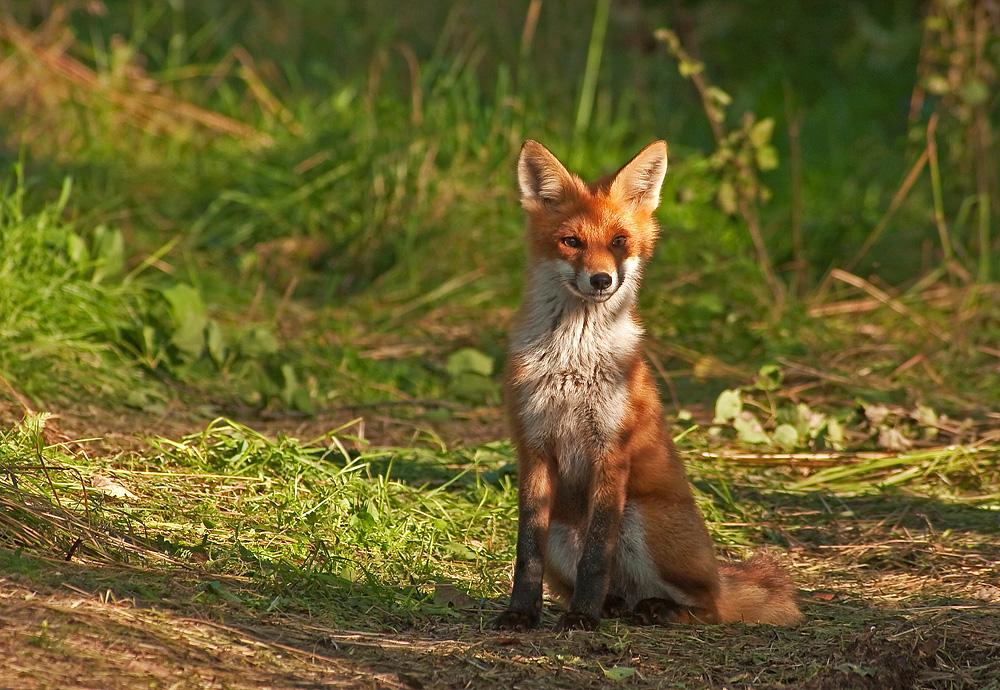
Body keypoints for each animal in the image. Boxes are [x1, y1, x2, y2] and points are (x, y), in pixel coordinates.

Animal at [493, 140, 802, 632]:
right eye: (571, 241)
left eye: (619, 241)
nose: (602, 279)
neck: (573, 363)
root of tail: (719, 574)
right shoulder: (533, 446)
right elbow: (527, 553)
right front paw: (522, 613)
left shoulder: (612, 449)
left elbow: (596, 556)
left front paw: (581, 618)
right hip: (564, 530)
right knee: (618, 589)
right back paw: (615, 606)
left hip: (641, 517)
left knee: (711, 607)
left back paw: (658, 609)